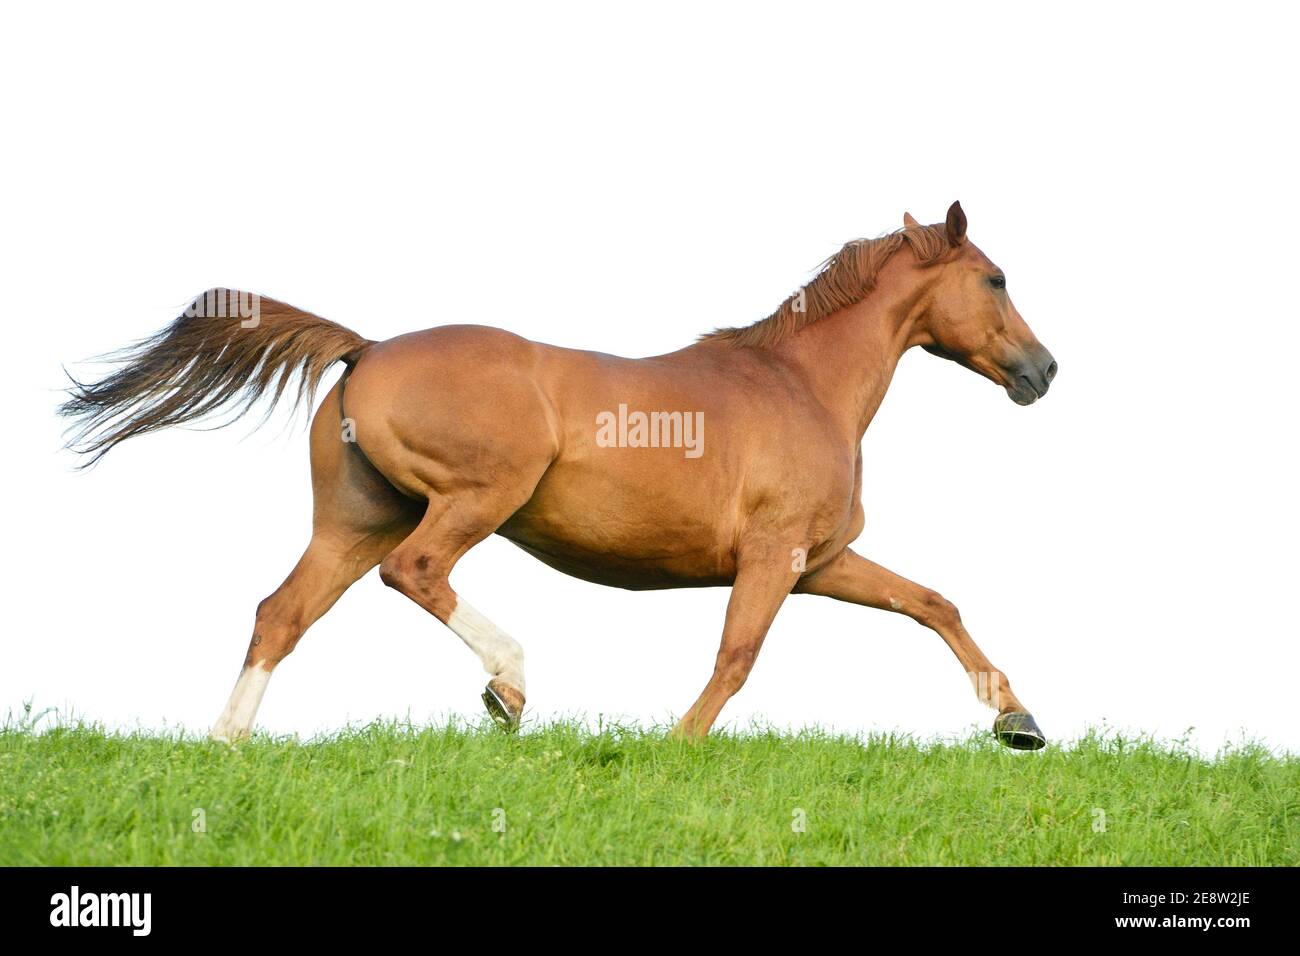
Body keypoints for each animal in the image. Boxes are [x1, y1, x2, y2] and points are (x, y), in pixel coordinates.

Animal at [60, 201, 1058, 748]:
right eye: (997, 279)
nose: (1044, 371)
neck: (802, 384)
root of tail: (368, 348)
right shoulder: (773, 559)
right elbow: (736, 658)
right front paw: (675, 746)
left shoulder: (820, 565)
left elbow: (934, 604)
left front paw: (1017, 721)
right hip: (468, 502)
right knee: (416, 573)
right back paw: (509, 686)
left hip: (354, 521)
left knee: (282, 612)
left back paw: (227, 740)